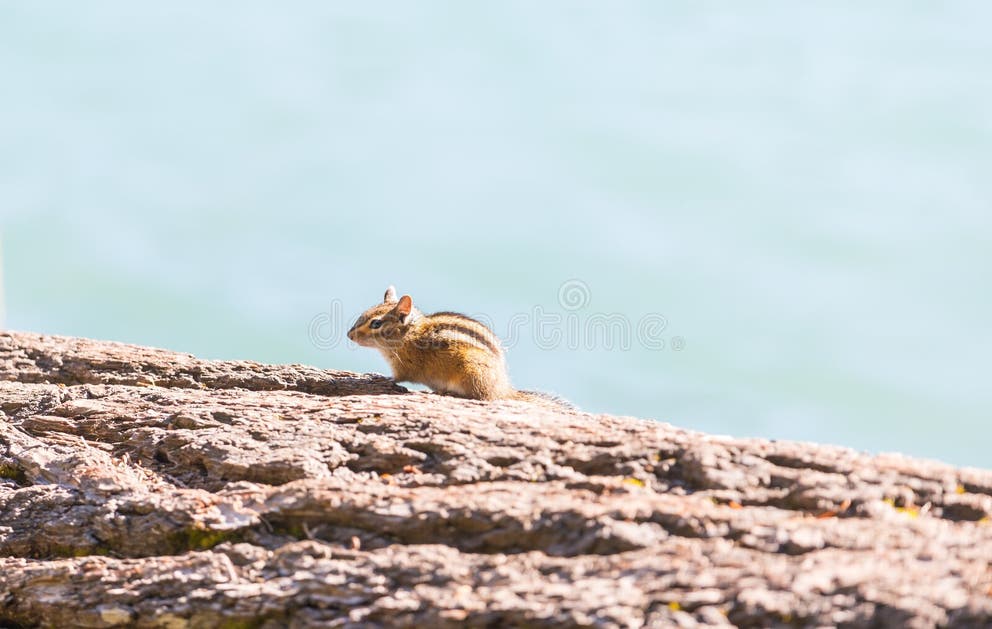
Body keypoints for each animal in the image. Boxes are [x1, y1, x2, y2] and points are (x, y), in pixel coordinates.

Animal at [347, 286, 572, 407]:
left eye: (376, 323)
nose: (349, 335)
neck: (408, 335)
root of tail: (504, 389)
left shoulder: (405, 366)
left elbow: (397, 377)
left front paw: (379, 377)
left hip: (472, 370)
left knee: (481, 397)